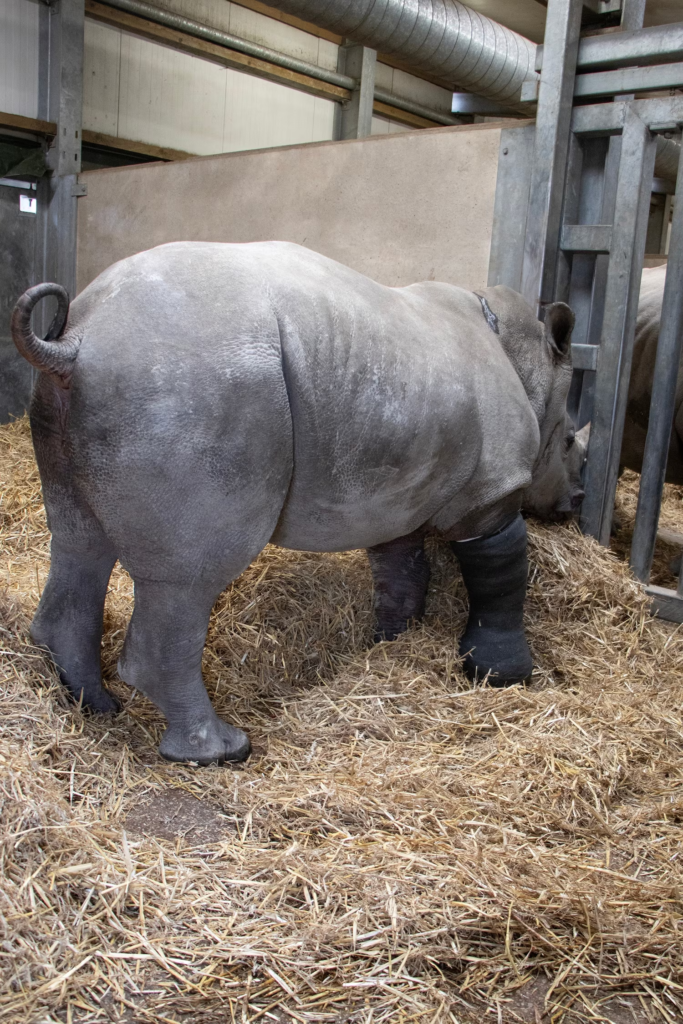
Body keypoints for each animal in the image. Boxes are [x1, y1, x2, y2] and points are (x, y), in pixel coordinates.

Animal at [12, 242, 584, 765]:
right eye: (571, 442)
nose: (572, 505)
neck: (527, 361)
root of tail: (79, 342)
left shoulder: (397, 494)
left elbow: (401, 569)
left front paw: (389, 643)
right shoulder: (492, 490)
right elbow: (501, 573)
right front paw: (503, 675)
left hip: (98, 391)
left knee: (78, 542)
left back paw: (93, 704)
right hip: (183, 386)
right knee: (185, 581)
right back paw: (220, 751)